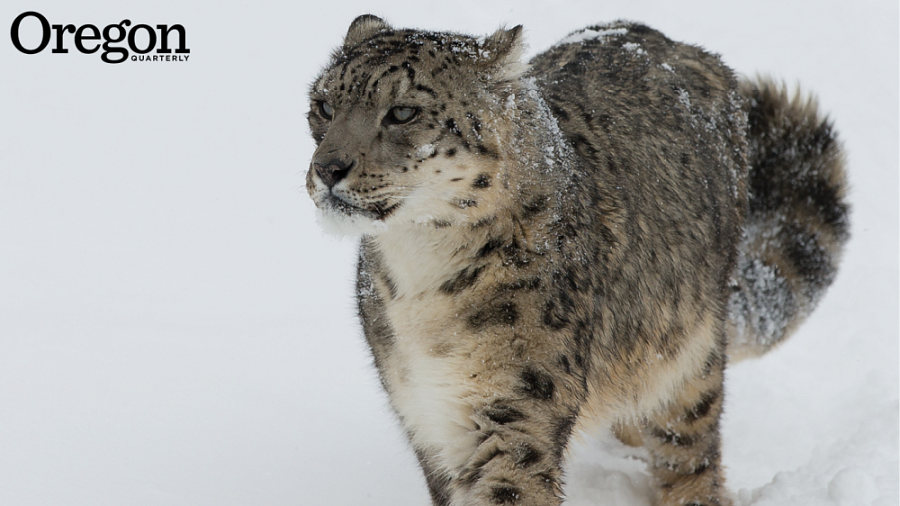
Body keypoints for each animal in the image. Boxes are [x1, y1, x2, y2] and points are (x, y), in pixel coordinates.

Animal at [304, 14, 849, 506]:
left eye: (402, 113)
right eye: (323, 105)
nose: (328, 168)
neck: (420, 274)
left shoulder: (514, 410)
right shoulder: (427, 415)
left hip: (688, 355)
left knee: (690, 449)